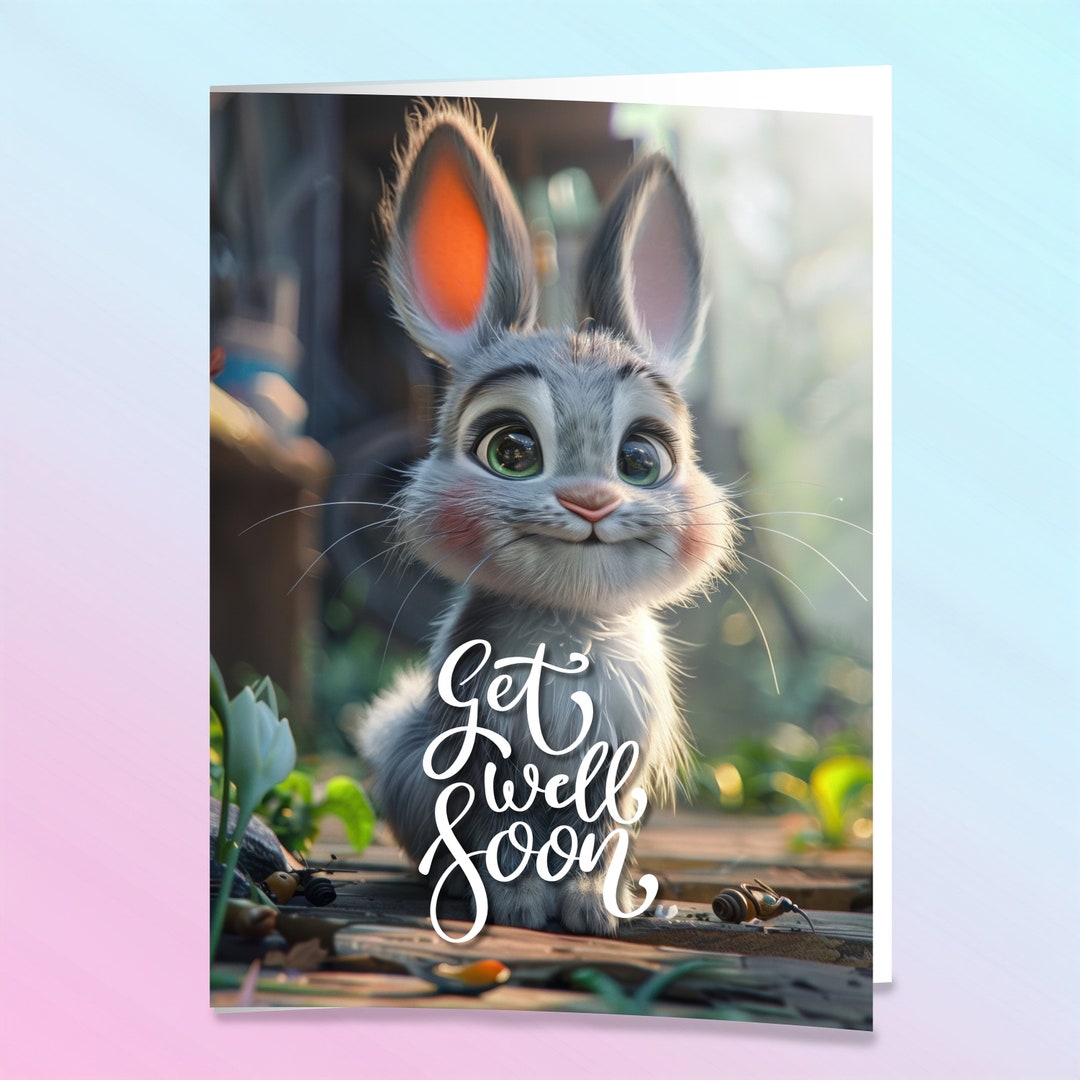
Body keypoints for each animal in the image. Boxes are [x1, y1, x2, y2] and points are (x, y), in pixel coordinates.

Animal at [354, 100, 740, 939]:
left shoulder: (617, 772)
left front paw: (592, 911)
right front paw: (522, 907)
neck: (569, 629)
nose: (590, 502)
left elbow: (595, 840)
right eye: (511, 450)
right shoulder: (483, 764)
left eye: (640, 459)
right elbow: (506, 836)